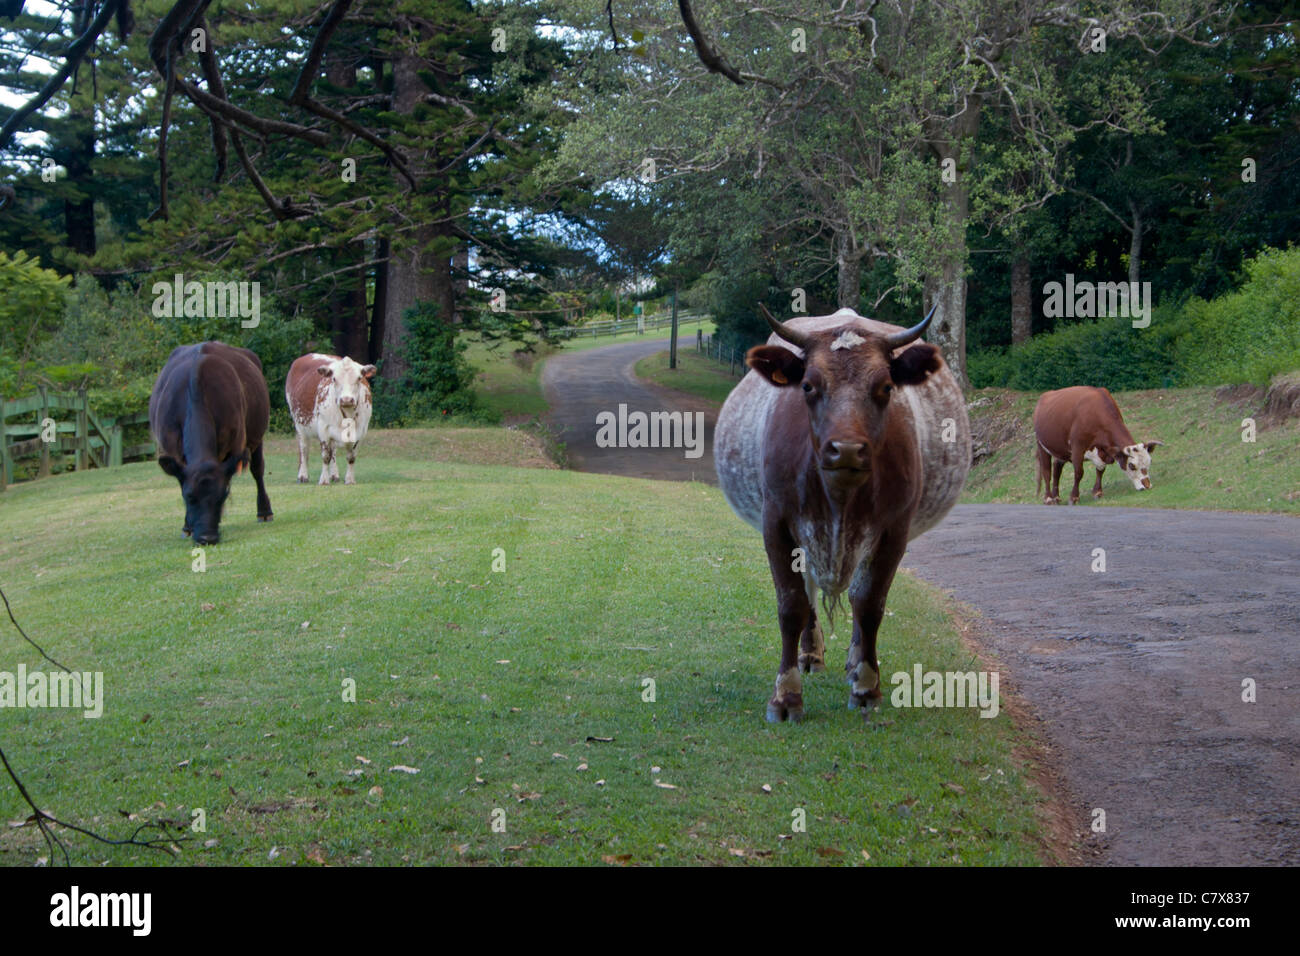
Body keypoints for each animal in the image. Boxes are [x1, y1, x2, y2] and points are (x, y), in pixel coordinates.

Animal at [149, 341, 273, 544]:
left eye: (223, 495)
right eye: (189, 496)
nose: (207, 537)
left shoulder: (235, 446)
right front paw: (187, 526)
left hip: (257, 436)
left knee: (257, 470)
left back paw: (264, 511)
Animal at [285, 353, 376, 485]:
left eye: (359, 378)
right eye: (334, 379)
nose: (346, 399)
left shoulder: (361, 430)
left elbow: (351, 457)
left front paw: (350, 479)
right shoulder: (323, 428)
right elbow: (325, 456)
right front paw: (324, 480)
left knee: (333, 450)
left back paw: (334, 475)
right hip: (299, 425)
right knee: (304, 449)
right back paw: (303, 475)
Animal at [714, 305, 970, 722]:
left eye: (886, 387)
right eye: (807, 386)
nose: (846, 449)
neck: (839, 498)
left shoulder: (894, 530)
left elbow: (869, 604)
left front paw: (866, 686)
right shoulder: (777, 525)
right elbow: (791, 605)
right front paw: (785, 696)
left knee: (855, 594)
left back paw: (853, 661)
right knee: (809, 591)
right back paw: (810, 655)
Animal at [1033, 386, 1164, 505]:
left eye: (1149, 462)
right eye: (1131, 465)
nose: (1147, 486)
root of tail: (1044, 396)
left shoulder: (1103, 451)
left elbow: (1100, 469)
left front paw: (1097, 492)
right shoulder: (1077, 448)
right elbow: (1079, 473)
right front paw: (1074, 497)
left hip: (1061, 450)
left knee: (1057, 470)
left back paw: (1056, 497)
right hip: (1041, 445)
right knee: (1047, 472)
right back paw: (1048, 498)